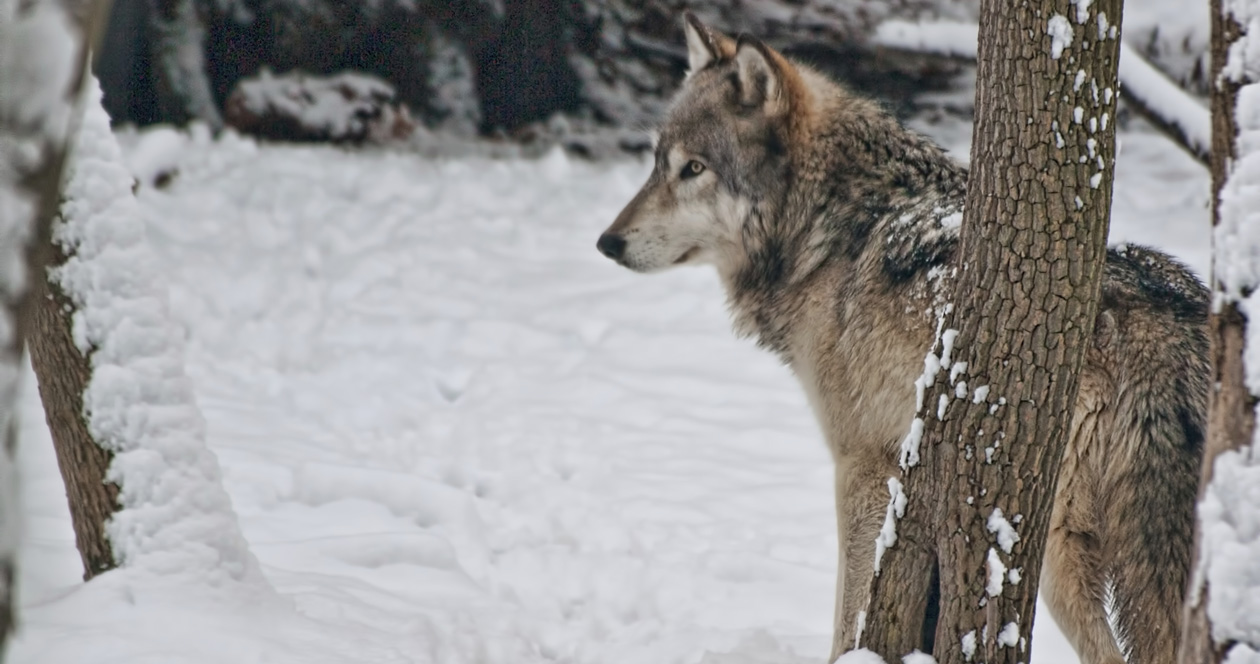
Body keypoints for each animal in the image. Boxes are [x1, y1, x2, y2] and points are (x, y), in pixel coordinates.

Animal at [595, 14, 1208, 664]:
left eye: (694, 169)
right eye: (657, 163)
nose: (607, 242)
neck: (824, 231)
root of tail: (1166, 320)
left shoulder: (862, 469)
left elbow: (848, 616)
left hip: (1058, 555)